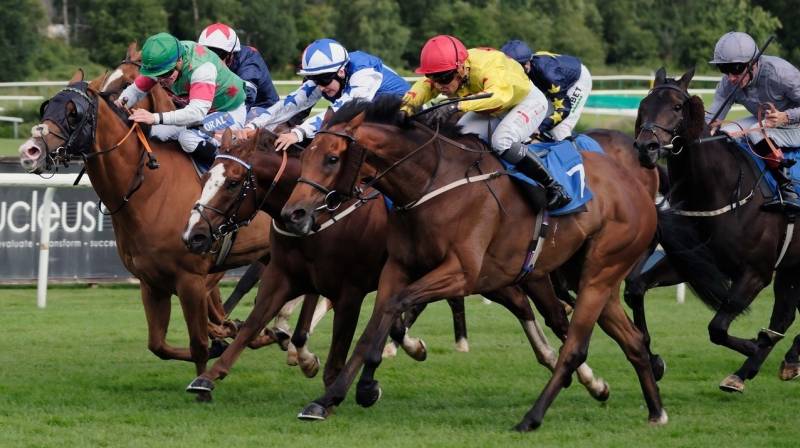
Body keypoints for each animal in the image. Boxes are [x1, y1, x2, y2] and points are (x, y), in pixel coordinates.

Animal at [18, 70, 273, 400]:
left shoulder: (191, 278)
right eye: (46, 108)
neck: (149, 188)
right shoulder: (152, 282)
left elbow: (198, 342)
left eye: (74, 113)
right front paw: (226, 339)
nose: (30, 151)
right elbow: (158, 345)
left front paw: (203, 387)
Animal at [182, 128, 610, 402]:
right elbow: (254, 324)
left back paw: (588, 378)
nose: (194, 235)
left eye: (233, 183)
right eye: (206, 178)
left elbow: (340, 341)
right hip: (489, 278)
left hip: (521, 273)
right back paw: (553, 360)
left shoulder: (350, 288)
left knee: (556, 316)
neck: (322, 214)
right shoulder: (285, 276)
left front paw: (340, 383)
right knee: (523, 308)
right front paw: (208, 378)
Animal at [280, 96, 664, 430]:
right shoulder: (399, 267)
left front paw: (366, 386)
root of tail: (637, 187)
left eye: (332, 158)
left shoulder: (461, 273)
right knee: (631, 341)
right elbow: (374, 326)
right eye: (307, 153)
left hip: (598, 272)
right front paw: (329, 398)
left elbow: (397, 305)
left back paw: (531, 417)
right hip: (595, 279)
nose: (292, 214)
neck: (430, 182)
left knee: (574, 346)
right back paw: (655, 410)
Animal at [634, 67, 800, 392]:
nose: (646, 147)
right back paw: (770, 365)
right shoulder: (692, 260)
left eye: (677, 106)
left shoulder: (756, 272)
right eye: (643, 105)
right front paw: (653, 359)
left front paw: (754, 343)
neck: (721, 189)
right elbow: (636, 287)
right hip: (792, 267)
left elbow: (718, 327)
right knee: (784, 315)